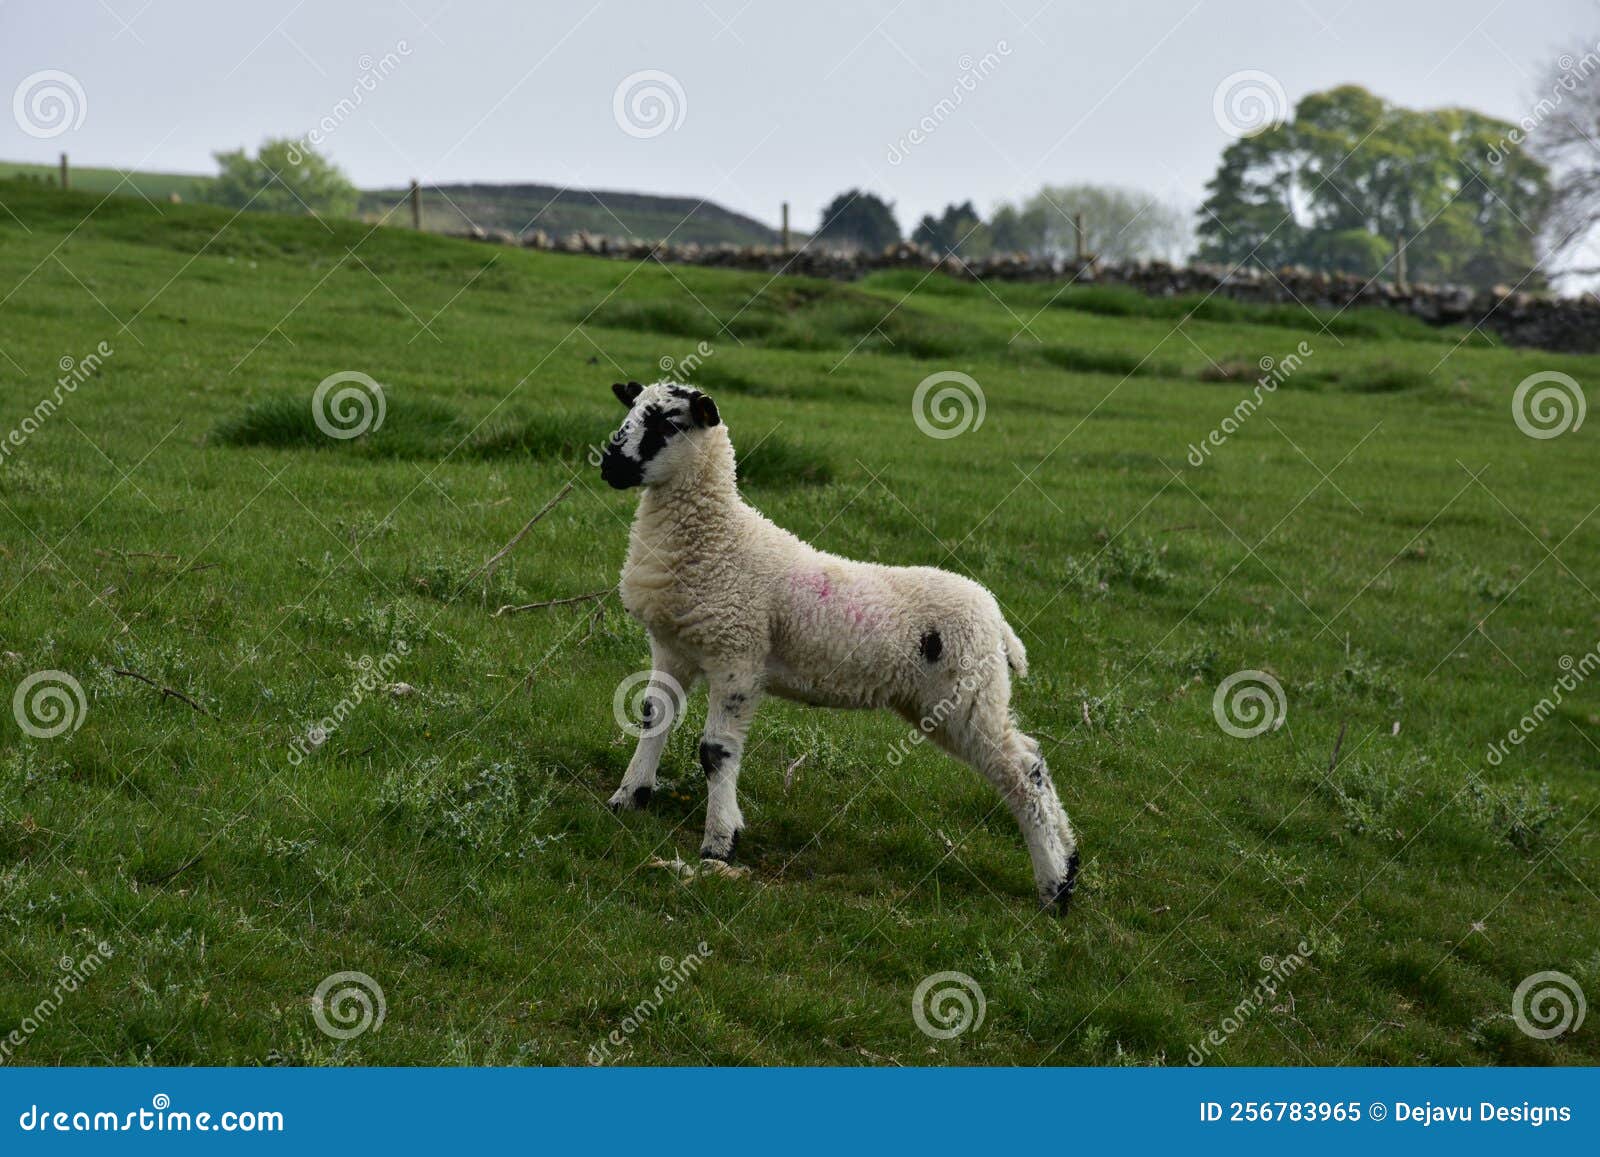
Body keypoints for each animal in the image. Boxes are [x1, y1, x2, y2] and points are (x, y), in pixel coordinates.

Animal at [597, 380, 1080, 910]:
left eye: (668, 422)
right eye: (632, 408)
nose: (608, 465)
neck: (721, 536)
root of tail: (997, 620)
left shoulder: (737, 654)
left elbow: (715, 752)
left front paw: (719, 843)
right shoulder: (673, 649)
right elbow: (652, 718)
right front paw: (629, 797)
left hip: (966, 697)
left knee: (1023, 773)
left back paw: (1054, 888)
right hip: (955, 701)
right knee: (1032, 758)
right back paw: (1070, 864)